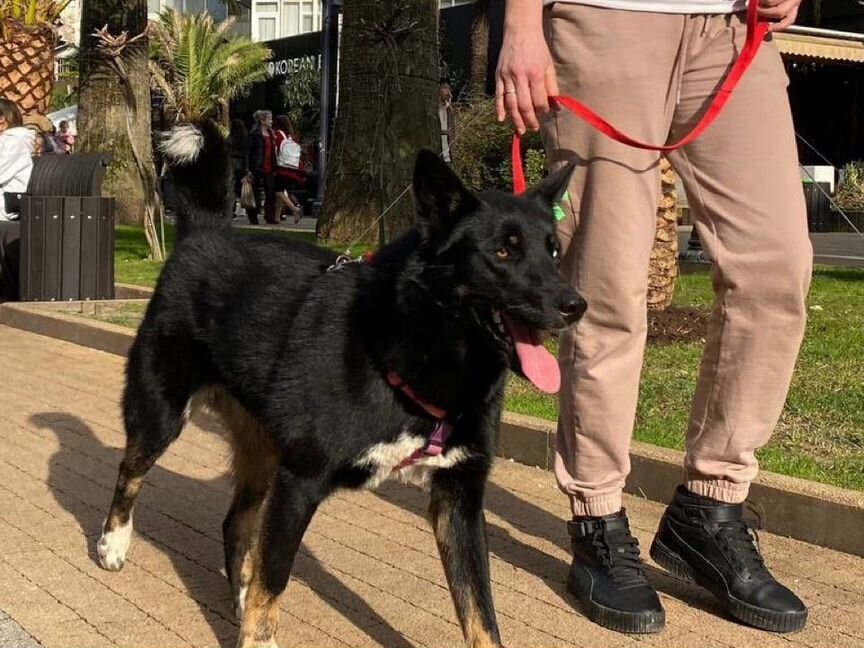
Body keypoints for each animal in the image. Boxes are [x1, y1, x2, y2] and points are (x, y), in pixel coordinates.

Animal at [98, 121, 588, 648]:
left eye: (554, 251)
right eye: (503, 251)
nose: (575, 305)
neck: (413, 345)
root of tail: (205, 232)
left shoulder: (460, 502)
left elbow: (481, 616)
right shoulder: (300, 483)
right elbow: (274, 582)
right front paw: (258, 633)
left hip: (262, 450)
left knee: (234, 524)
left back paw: (237, 598)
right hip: (162, 412)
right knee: (130, 472)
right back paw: (113, 544)